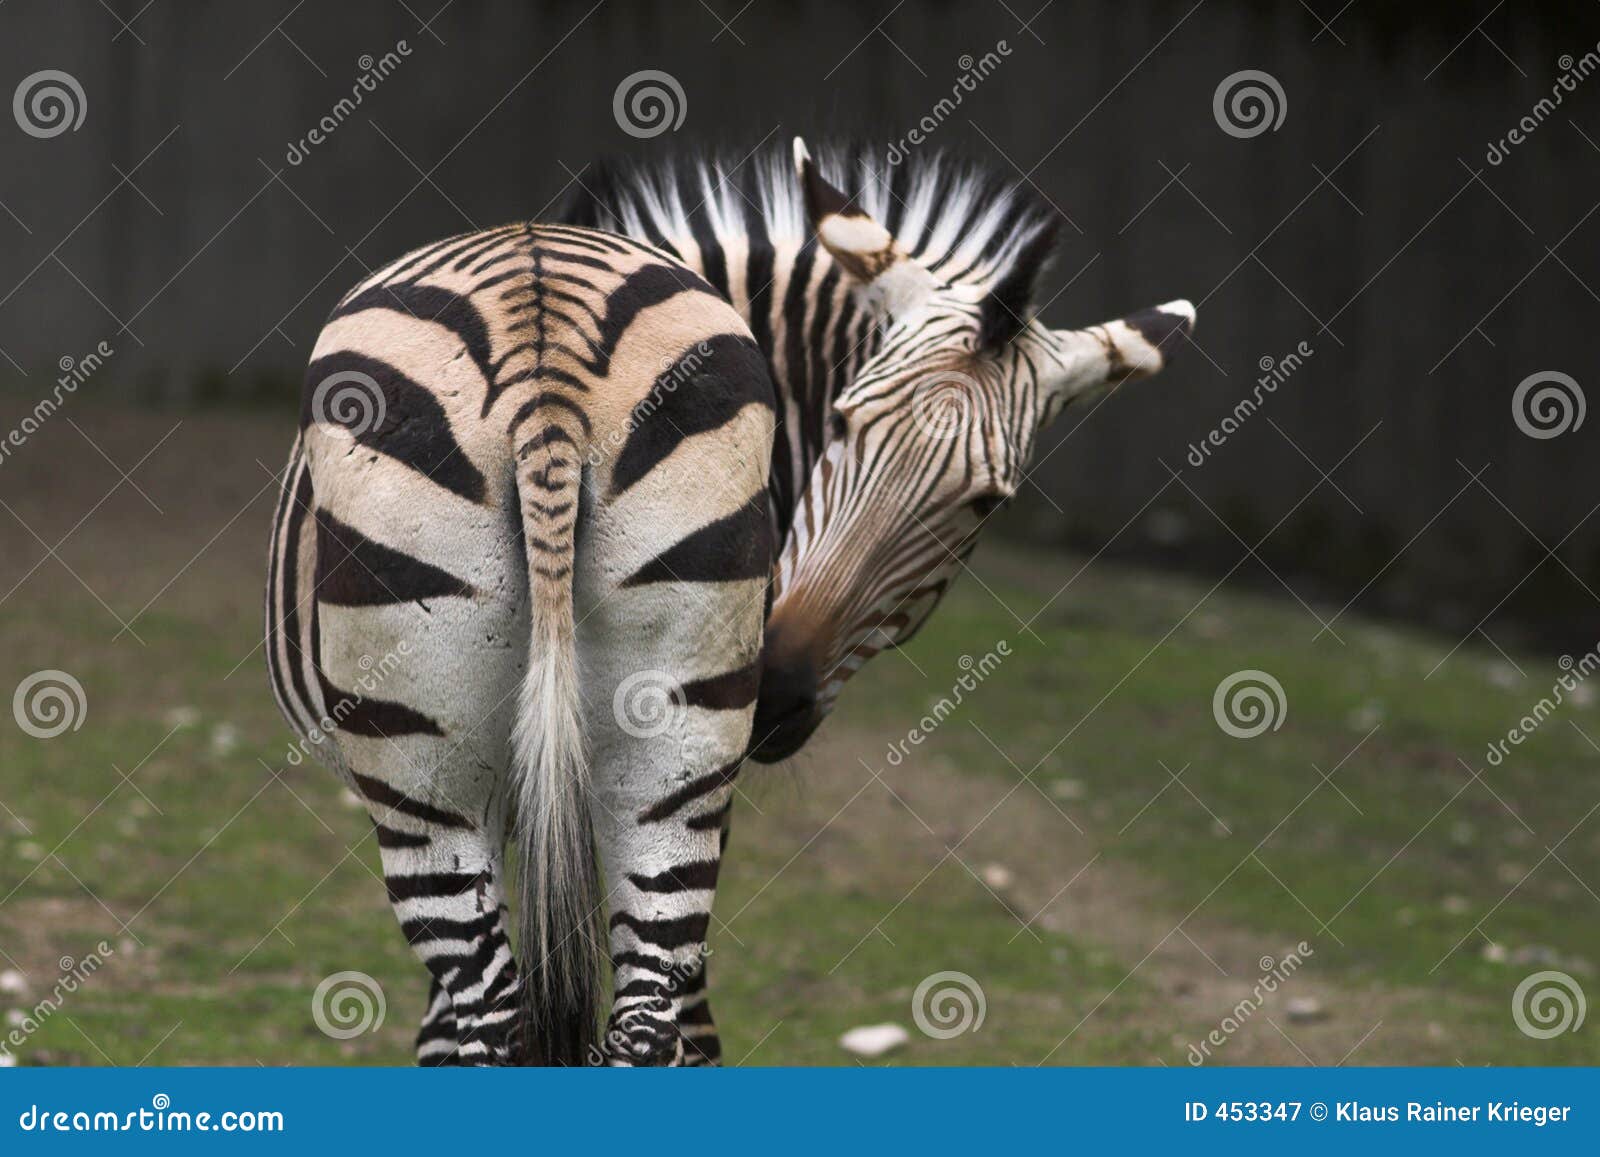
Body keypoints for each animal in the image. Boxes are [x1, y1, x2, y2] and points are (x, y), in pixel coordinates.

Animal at [267, 138, 1193, 1066]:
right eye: (844, 421)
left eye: (987, 501)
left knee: (505, 1027)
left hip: (439, 786)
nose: (776, 689)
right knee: (635, 1025)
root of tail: (546, 375)